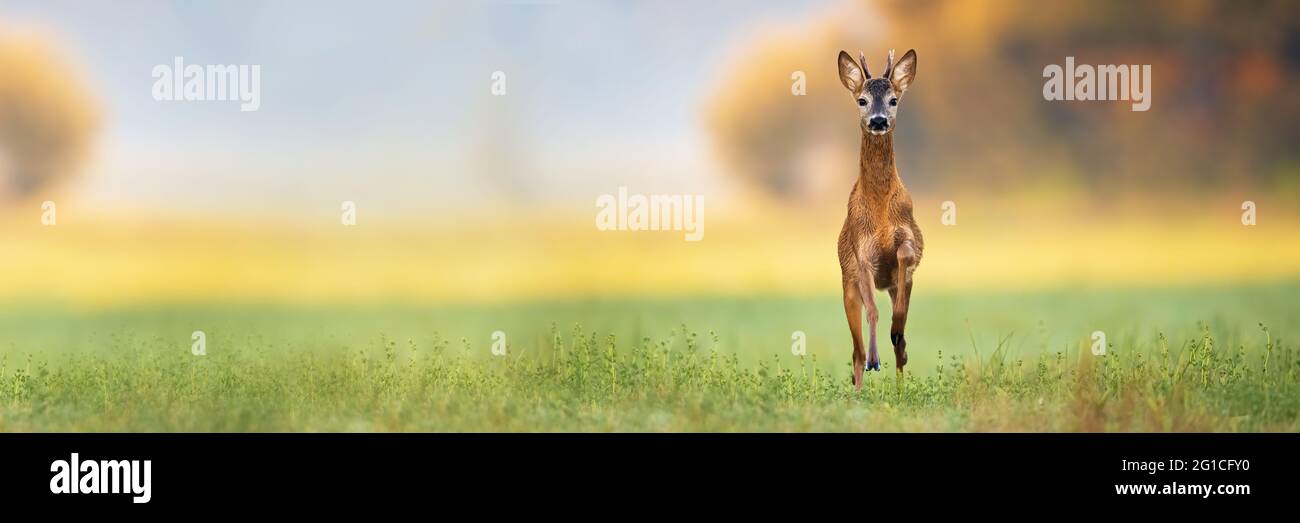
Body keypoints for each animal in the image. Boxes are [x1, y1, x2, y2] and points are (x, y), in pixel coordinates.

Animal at [835, 48, 923, 390]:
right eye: (862, 100)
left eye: (893, 99)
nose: (878, 120)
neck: (881, 209)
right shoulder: (861, 254)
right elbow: (872, 311)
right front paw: (875, 360)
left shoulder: (911, 242)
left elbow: (905, 254)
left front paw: (897, 333)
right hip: (847, 287)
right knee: (855, 351)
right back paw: (860, 382)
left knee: (898, 344)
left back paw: (899, 382)